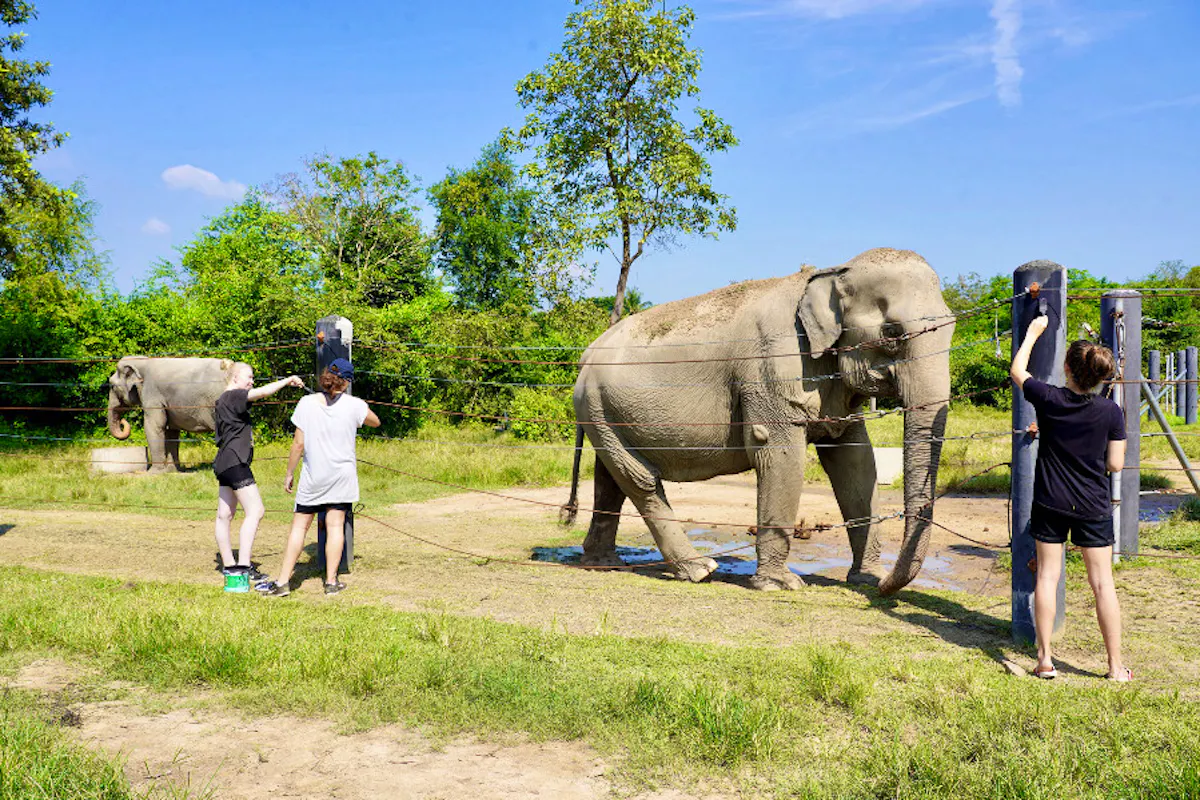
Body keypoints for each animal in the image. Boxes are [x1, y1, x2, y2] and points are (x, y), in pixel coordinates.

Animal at [107, 356, 236, 472]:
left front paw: (154, 473)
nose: (123, 421)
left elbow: (154, 426)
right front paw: (172, 471)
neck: (143, 361)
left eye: (112, 386)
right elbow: (171, 430)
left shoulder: (152, 395)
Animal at [564, 247, 954, 596]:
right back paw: (699, 570)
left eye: (951, 327)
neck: (832, 271)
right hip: (595, 404)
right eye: (892, 333)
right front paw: (781, 586)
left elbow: (856, 461)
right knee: (640, 479)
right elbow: (778, 454)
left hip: (604, 411)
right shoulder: (773, 366)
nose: (886, 589)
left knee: (610, 477)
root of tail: (587, 351)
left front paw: (866, 579)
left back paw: (603, 563)